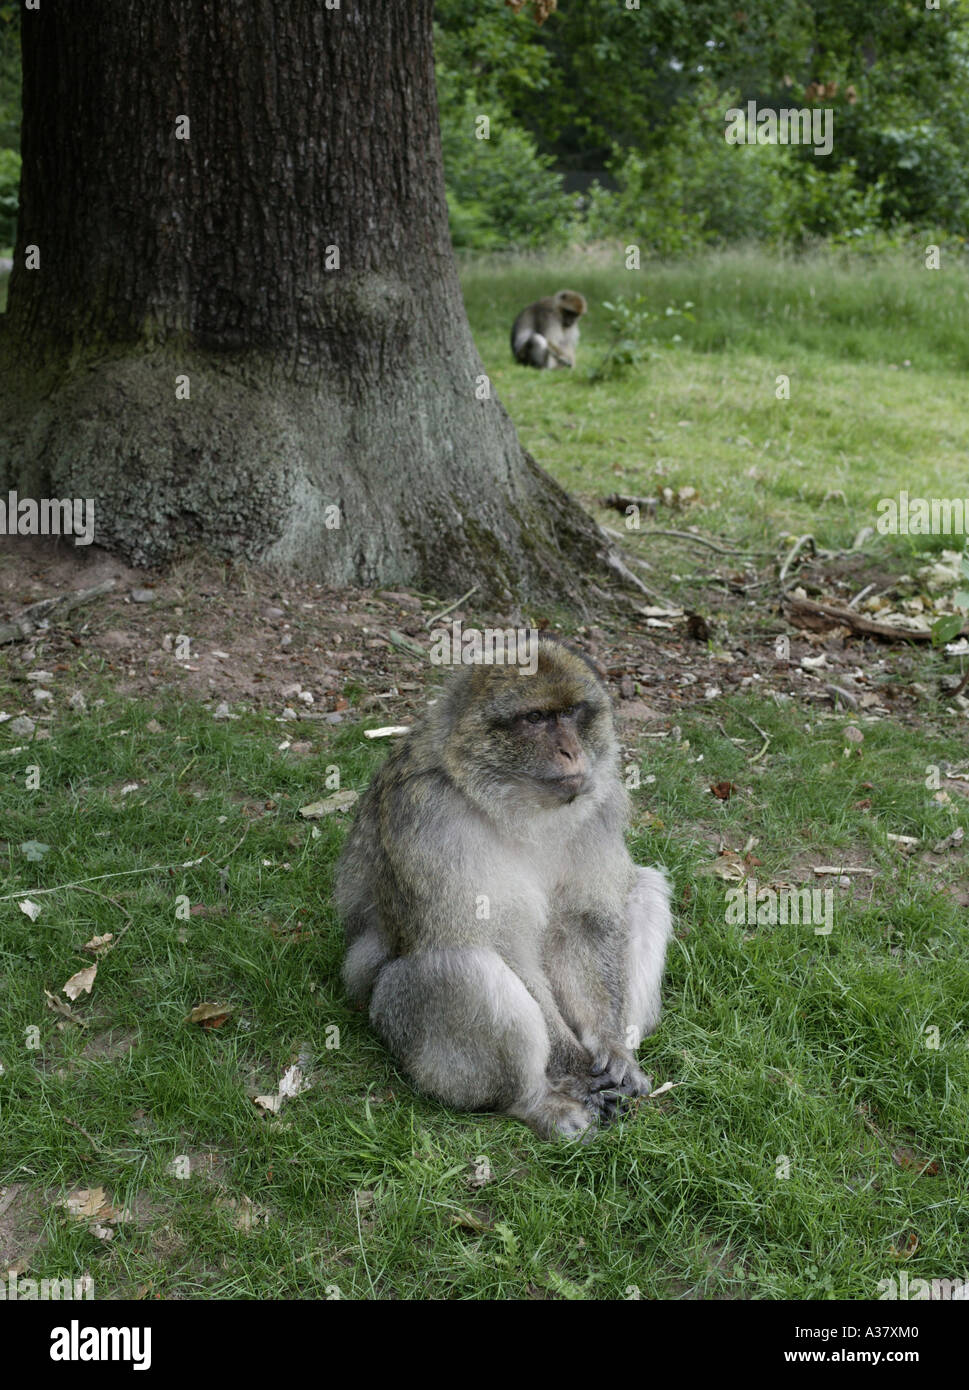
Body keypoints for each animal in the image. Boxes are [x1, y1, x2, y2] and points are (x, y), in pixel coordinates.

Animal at [335, 634, 673, 1140]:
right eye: (535, 718)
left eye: (571, 712)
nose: (572, 752)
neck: (515, 806)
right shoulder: (430, 817)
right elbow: (503, 945)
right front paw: (576, 1068)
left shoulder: (601, 802)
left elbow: (583, 923)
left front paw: (612, 1049)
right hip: (395, 1022)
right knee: (458, 964)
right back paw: (538, 1101)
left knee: (646, 889)